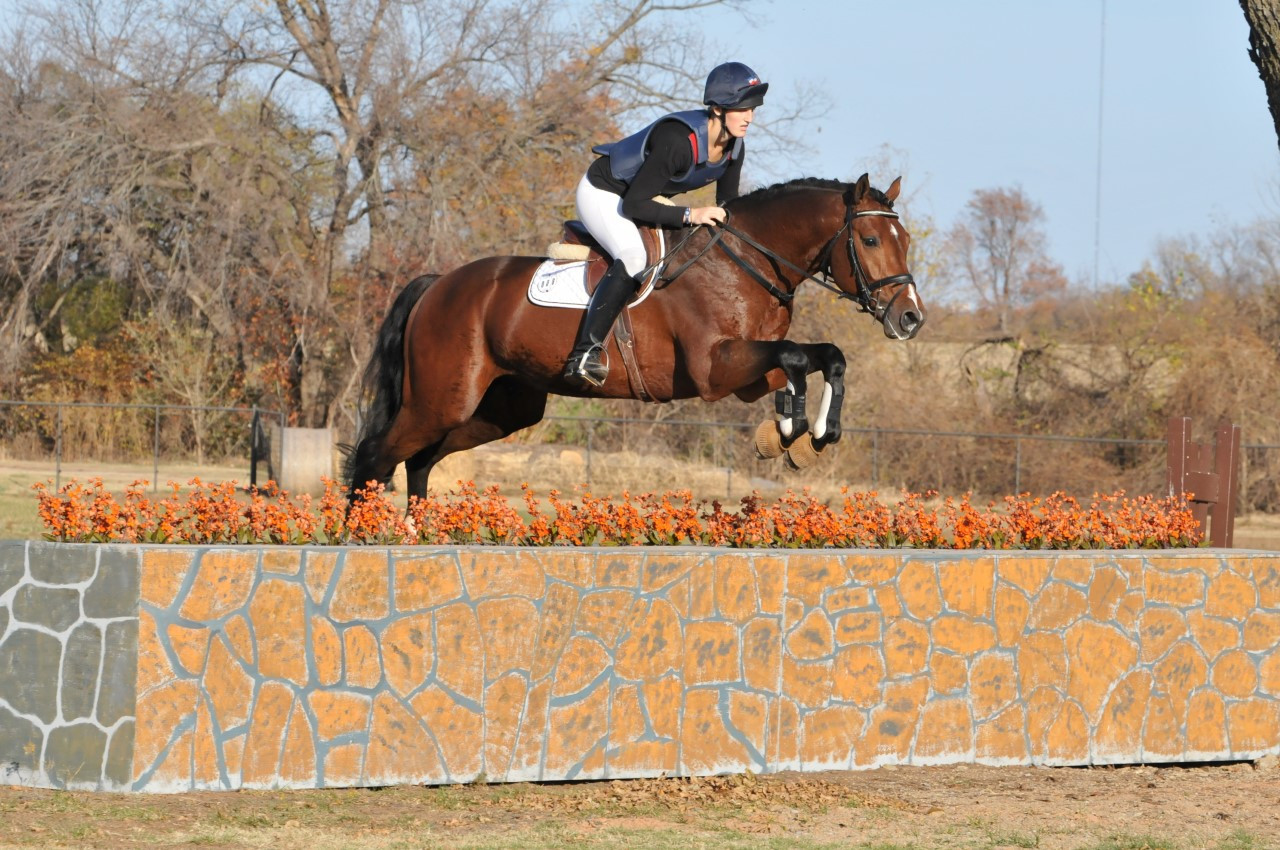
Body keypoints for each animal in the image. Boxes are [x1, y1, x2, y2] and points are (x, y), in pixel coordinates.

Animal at [346, 173, 925, 500]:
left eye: (905, 239)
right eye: (870, 239)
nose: (910, 318)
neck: (748, 260)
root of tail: (436, 285)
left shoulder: (743, 374)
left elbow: (822, 356)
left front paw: (803, 436)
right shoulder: (714, 370)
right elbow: (797, 358)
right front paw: (794, 431)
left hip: (502, 408)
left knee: (419, 461)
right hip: (442, 399)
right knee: (375, 456)